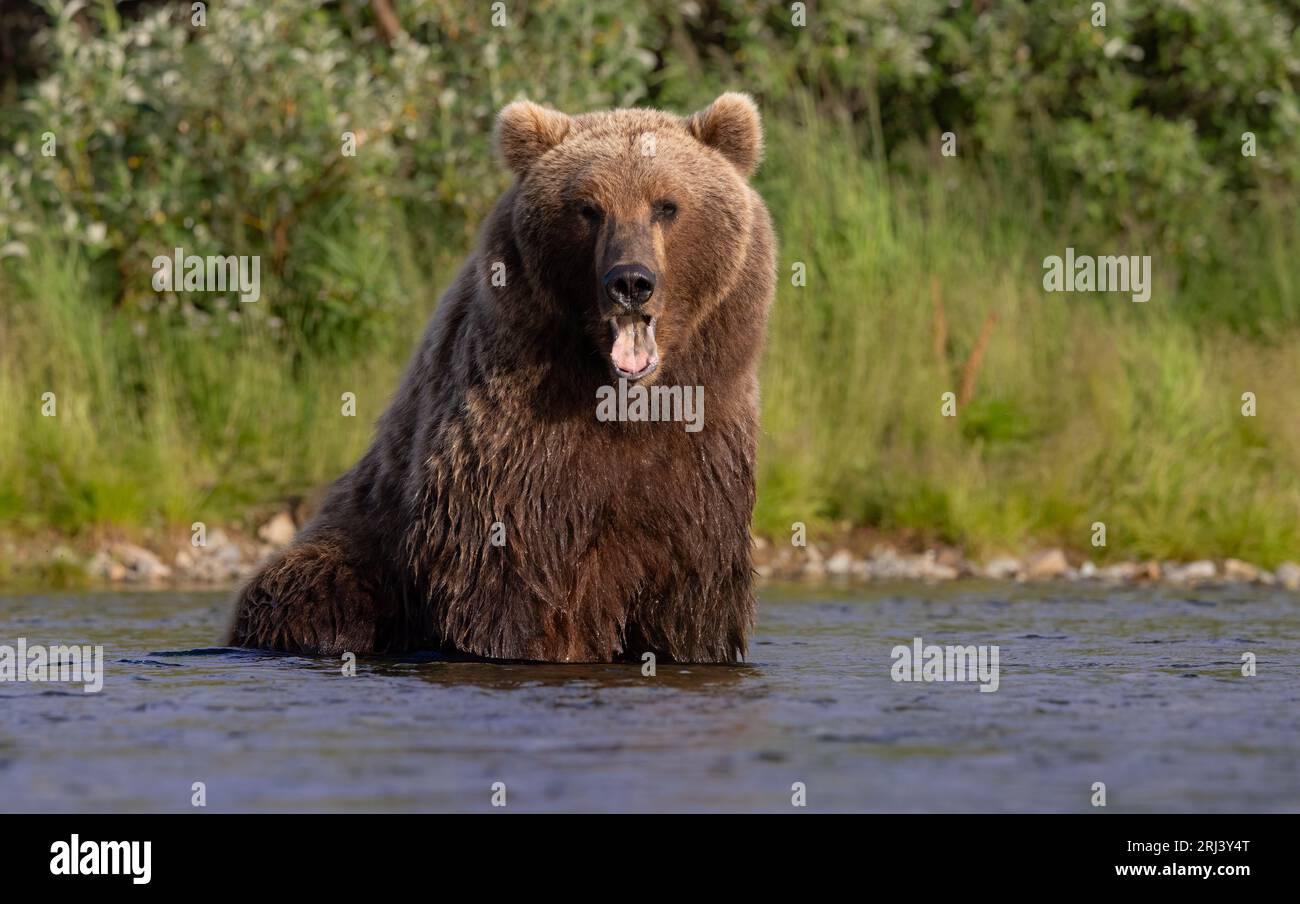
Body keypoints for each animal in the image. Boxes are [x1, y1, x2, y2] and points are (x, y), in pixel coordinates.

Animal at [228, 93, 776, 663]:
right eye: (589, 208)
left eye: (666, 205)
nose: (630, 281)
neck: (627, 402)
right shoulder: (514, 447)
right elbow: (509, 584)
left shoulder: (698, 461)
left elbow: (690, 598)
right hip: (352, 547)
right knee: (314, 595)